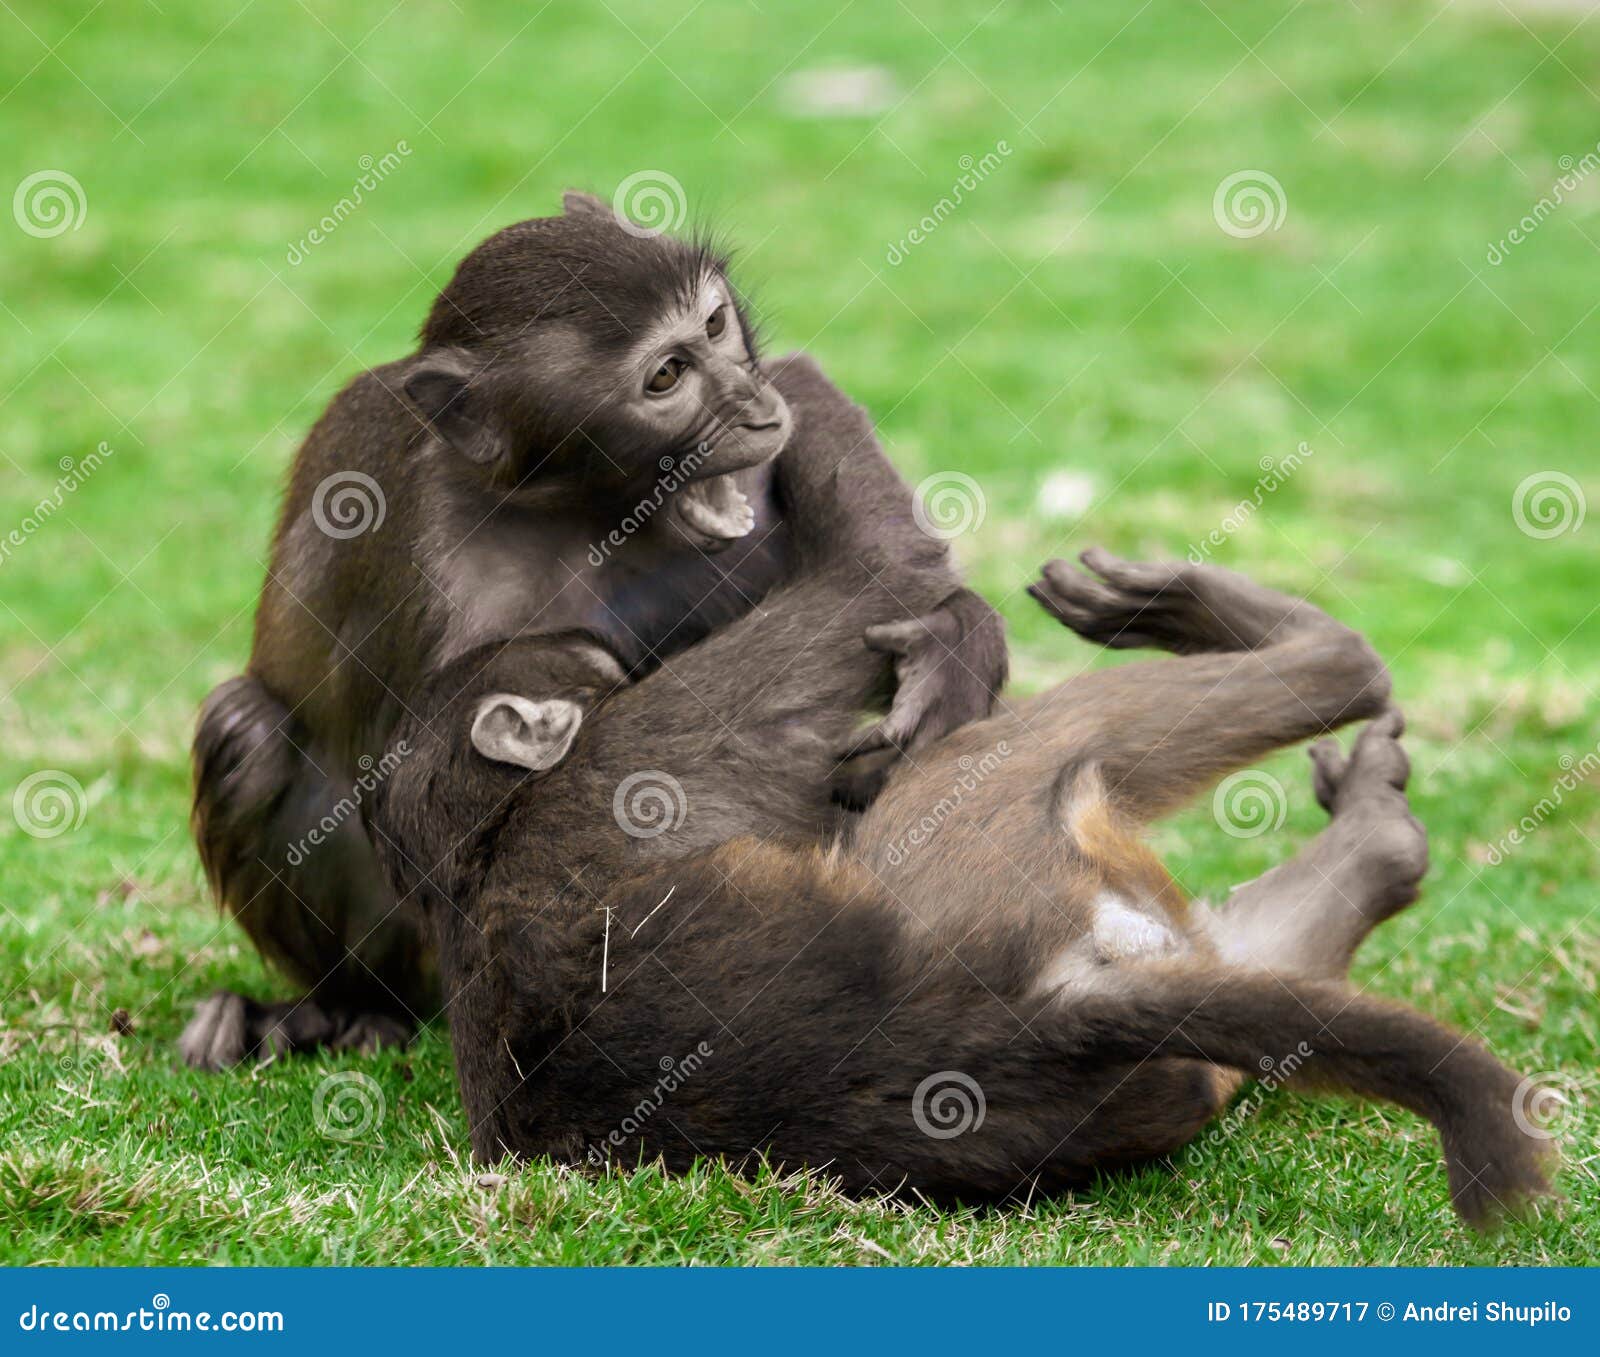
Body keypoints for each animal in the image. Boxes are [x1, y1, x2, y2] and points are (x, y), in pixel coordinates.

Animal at [182, 196, 1006, 1069]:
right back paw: (350, 1006)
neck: (574, 501)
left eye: (716, 325)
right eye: (667, 376)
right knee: (248, 732)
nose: (758, 407)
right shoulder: (446, 569)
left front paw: (955, 645)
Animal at [368, 366, 1552, 1228]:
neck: (482, 840)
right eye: (587, 661)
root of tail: (1026, 1018)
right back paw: (1314, 660)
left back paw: (1379, 840)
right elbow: (868, 582)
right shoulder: (647, 750)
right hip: (992, 848)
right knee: (1049, 749)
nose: (612, 644)